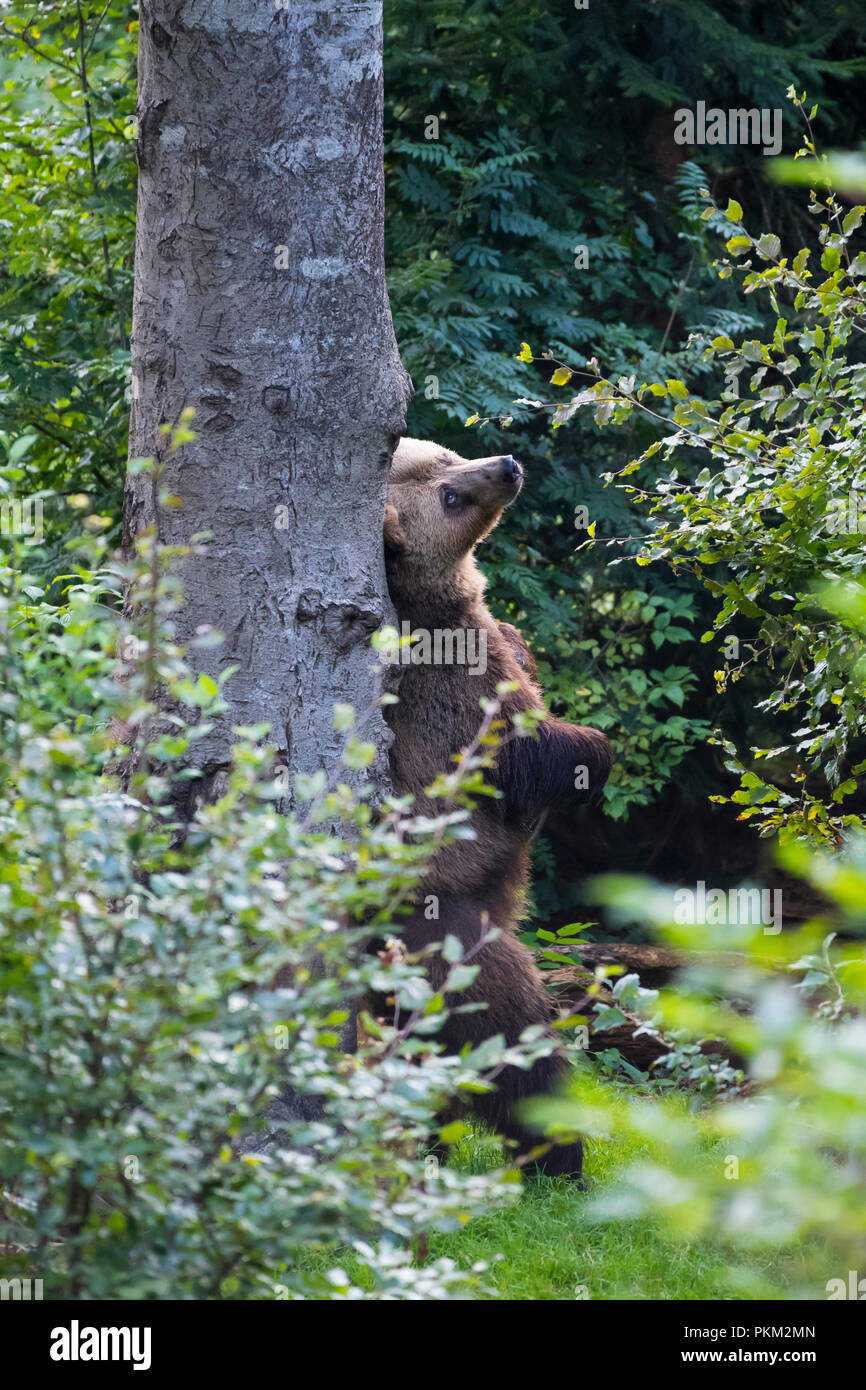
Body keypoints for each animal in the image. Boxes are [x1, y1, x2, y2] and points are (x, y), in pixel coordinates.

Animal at [382, 437, 611, 1179]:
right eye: (449, 497)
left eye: (446, 454)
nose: (507, 467)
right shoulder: (451, 701)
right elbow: (534, 752)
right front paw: (595, 752)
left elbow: (519, 646)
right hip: (460, 944)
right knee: (520, 1048)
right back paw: (558, 1154)